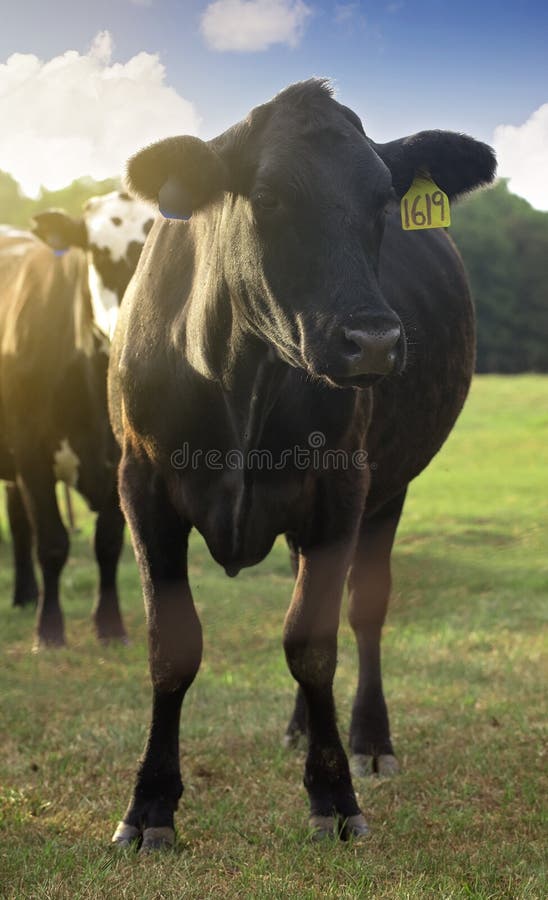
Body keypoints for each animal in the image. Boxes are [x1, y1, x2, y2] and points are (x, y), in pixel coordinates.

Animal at [0, 191, 153, 647]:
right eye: (99, 253)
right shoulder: (31, 451)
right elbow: (52, 542)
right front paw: (49, 631)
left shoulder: (122, 459)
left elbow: (108, 543)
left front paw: (111, 625)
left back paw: (25, 595)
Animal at [108, 79, 496, 849]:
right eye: (267, 196)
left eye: (384, 198)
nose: (373, 341)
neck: (240, 373)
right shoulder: (142, 483)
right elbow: (173, 648)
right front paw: (150, 805)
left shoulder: (342, 485)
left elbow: (314, 641)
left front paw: (335, 794)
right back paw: (297, 728)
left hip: (388, 491)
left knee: (365, 607)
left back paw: (369, 740)